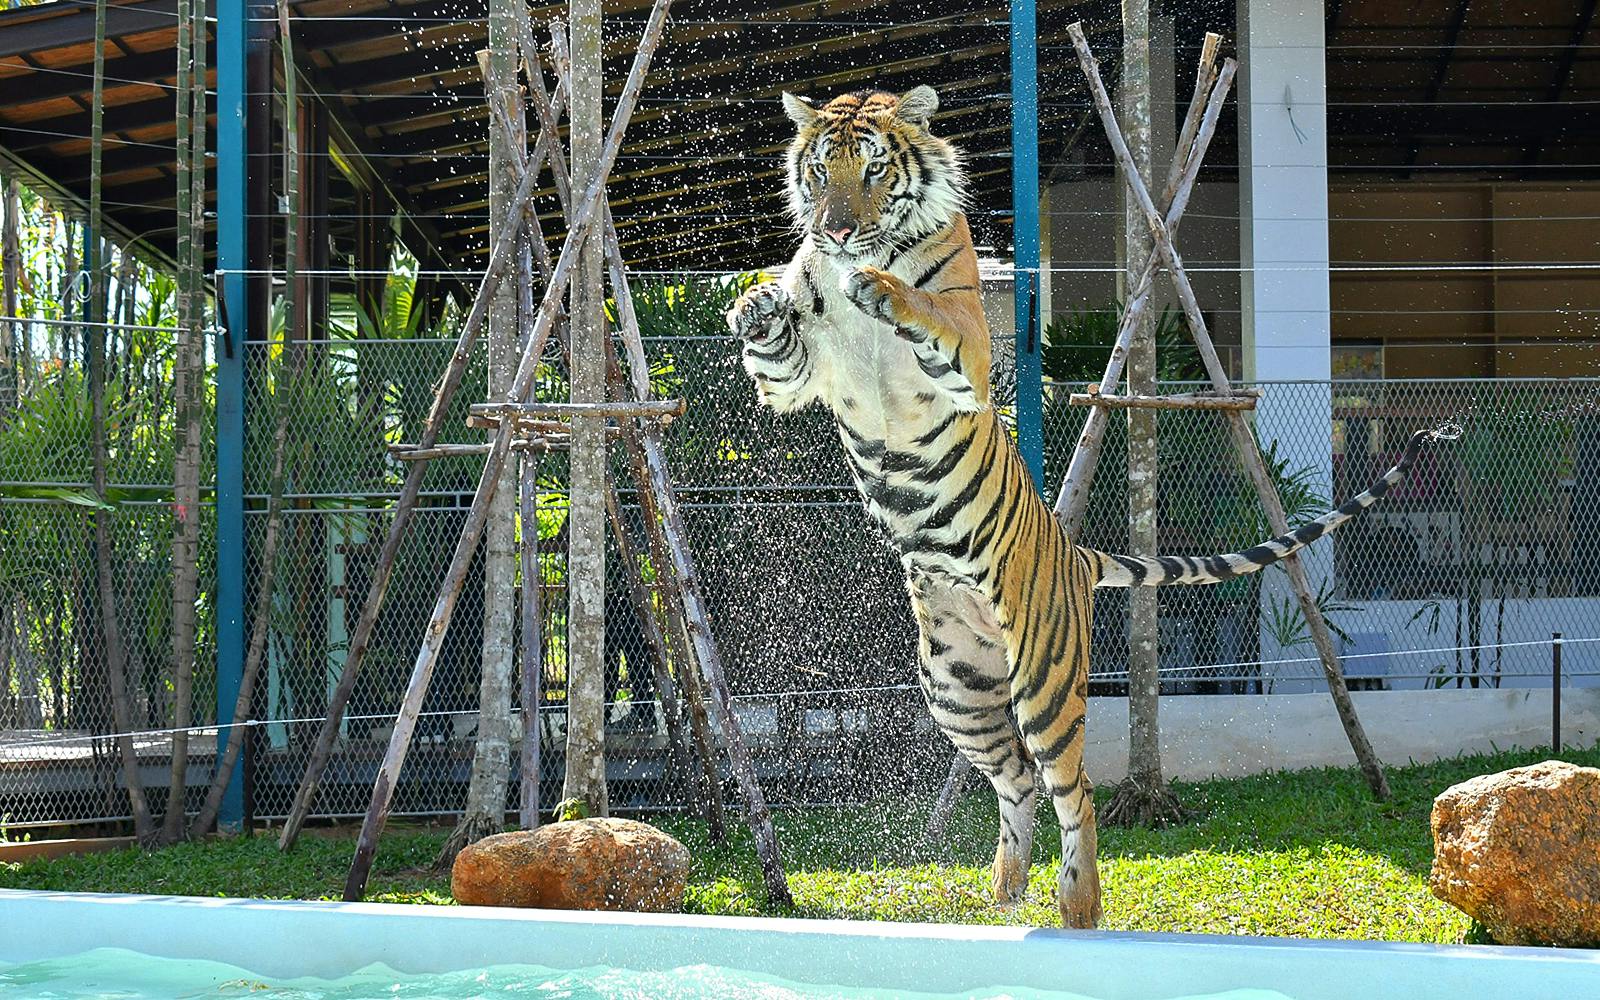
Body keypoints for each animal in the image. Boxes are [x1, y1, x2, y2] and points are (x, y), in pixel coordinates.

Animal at [726, 84, 1447, 928]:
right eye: (820, 170)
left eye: (873, 168)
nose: (836, 228)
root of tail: (1075, 553)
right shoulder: (798, 380)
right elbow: (779, 350)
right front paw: (756, 300)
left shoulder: (968, 352)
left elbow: (929, 312)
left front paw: (880, 287)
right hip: (955, 687)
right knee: (1016, 779)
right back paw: (1005, 892)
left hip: (1044, 677)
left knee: (1076, 789)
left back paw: (1078, 905)